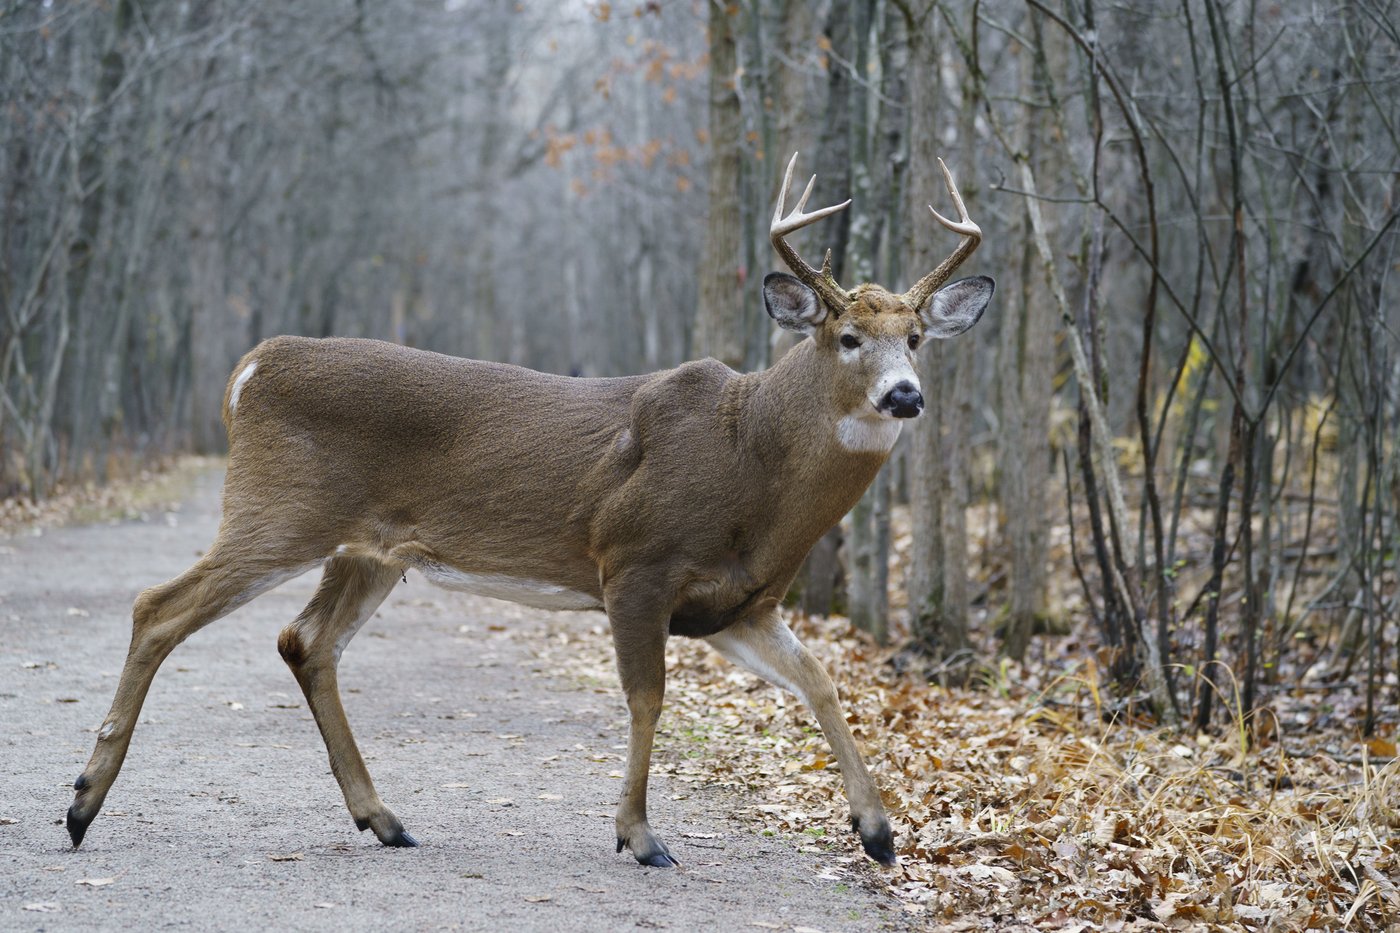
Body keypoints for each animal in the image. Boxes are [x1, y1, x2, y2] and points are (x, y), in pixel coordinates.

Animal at [65, 153, 992, 869]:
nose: (904, 396)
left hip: (371, 549)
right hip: (280, 509)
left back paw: (384, 818)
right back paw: (81, 803)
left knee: (306, 640)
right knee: (159, 606)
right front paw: (640, 836)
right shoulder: (633, 560)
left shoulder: (739, 604)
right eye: (848, 337)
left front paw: (878, 832)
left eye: (915, 339)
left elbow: (822, 681)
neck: (751, 458)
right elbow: (647, 697)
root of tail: (250, 368)